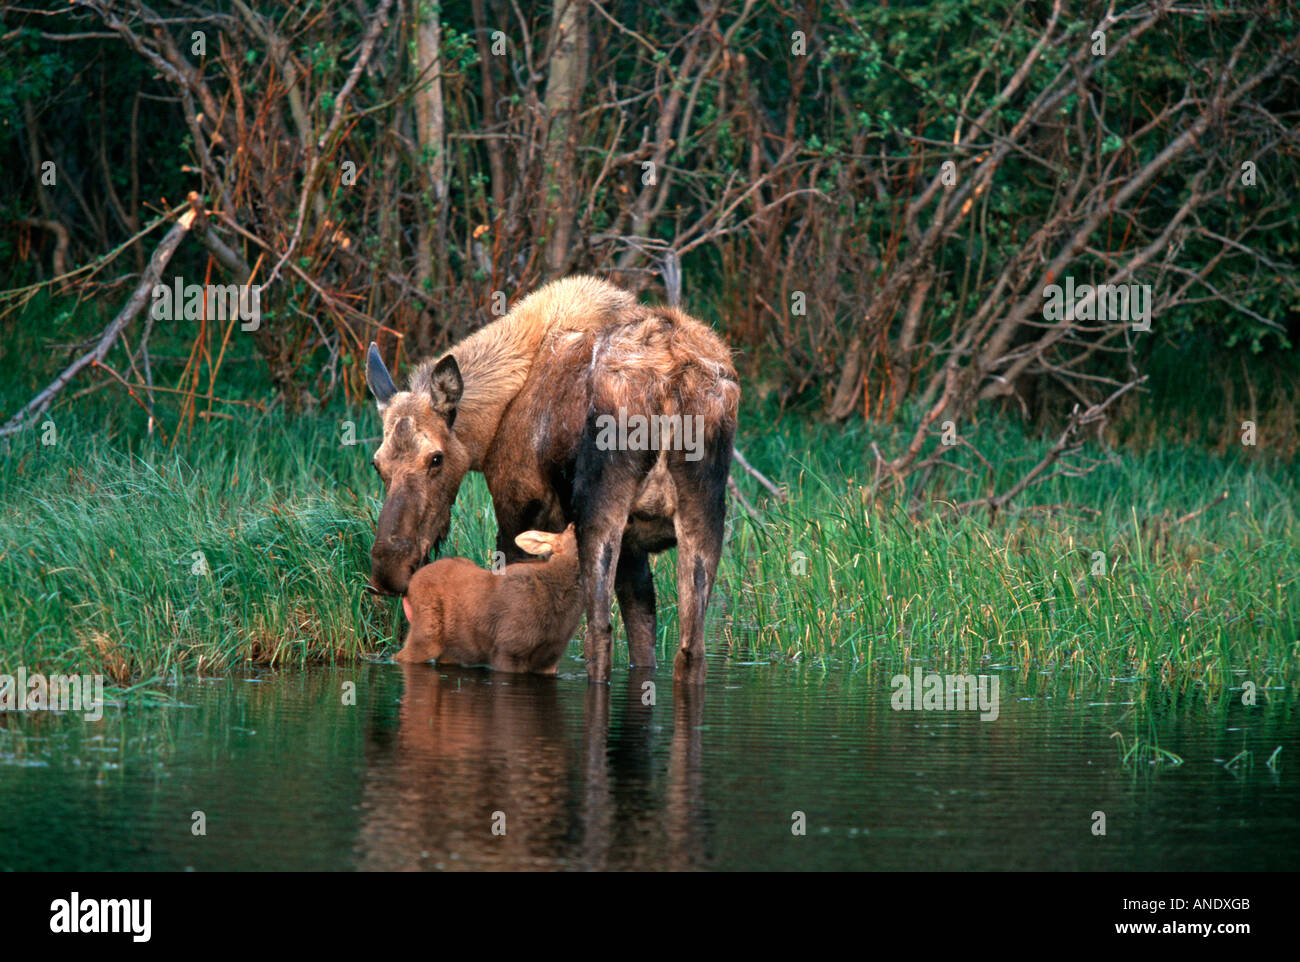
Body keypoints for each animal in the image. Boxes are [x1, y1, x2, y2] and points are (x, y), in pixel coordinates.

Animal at [397, 525, 582, 674]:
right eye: (574, 528)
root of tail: (410, 585)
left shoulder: (550, 659)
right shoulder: (507, 649)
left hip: (450, 649)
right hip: (425, 635)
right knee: (399, 656)